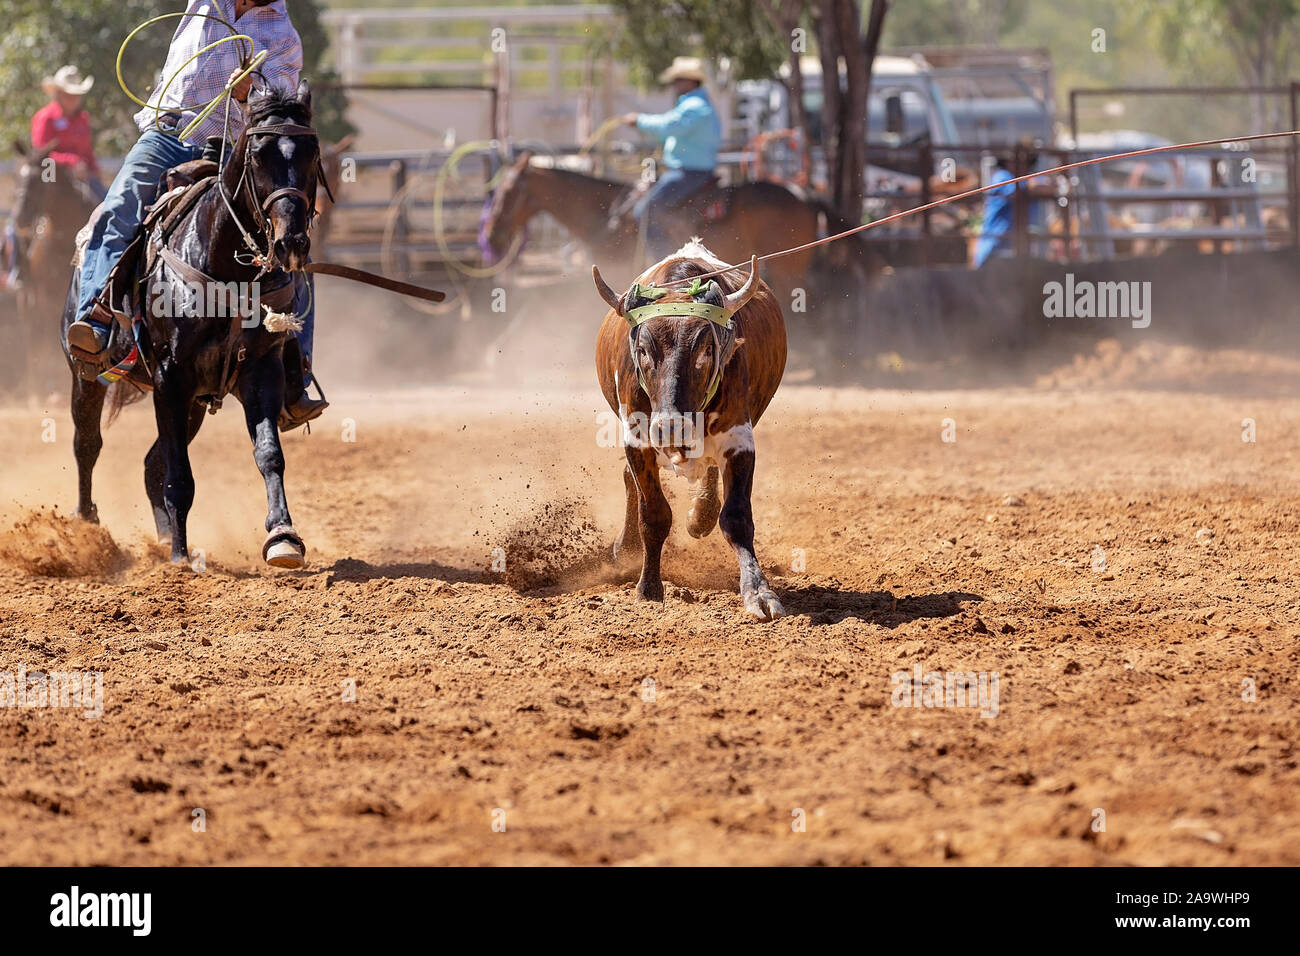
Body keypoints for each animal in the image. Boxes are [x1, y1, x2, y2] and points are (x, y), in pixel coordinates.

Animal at [593, 239, 788, 620]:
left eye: (706, 350)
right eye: (643, 350)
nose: (671, 428)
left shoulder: (739, 438)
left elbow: (737, 517)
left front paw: (759, 591)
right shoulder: (637, 439)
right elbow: (653, 514)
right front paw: (649, 588)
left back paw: (701, 514)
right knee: (629, 481)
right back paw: (626, 547)